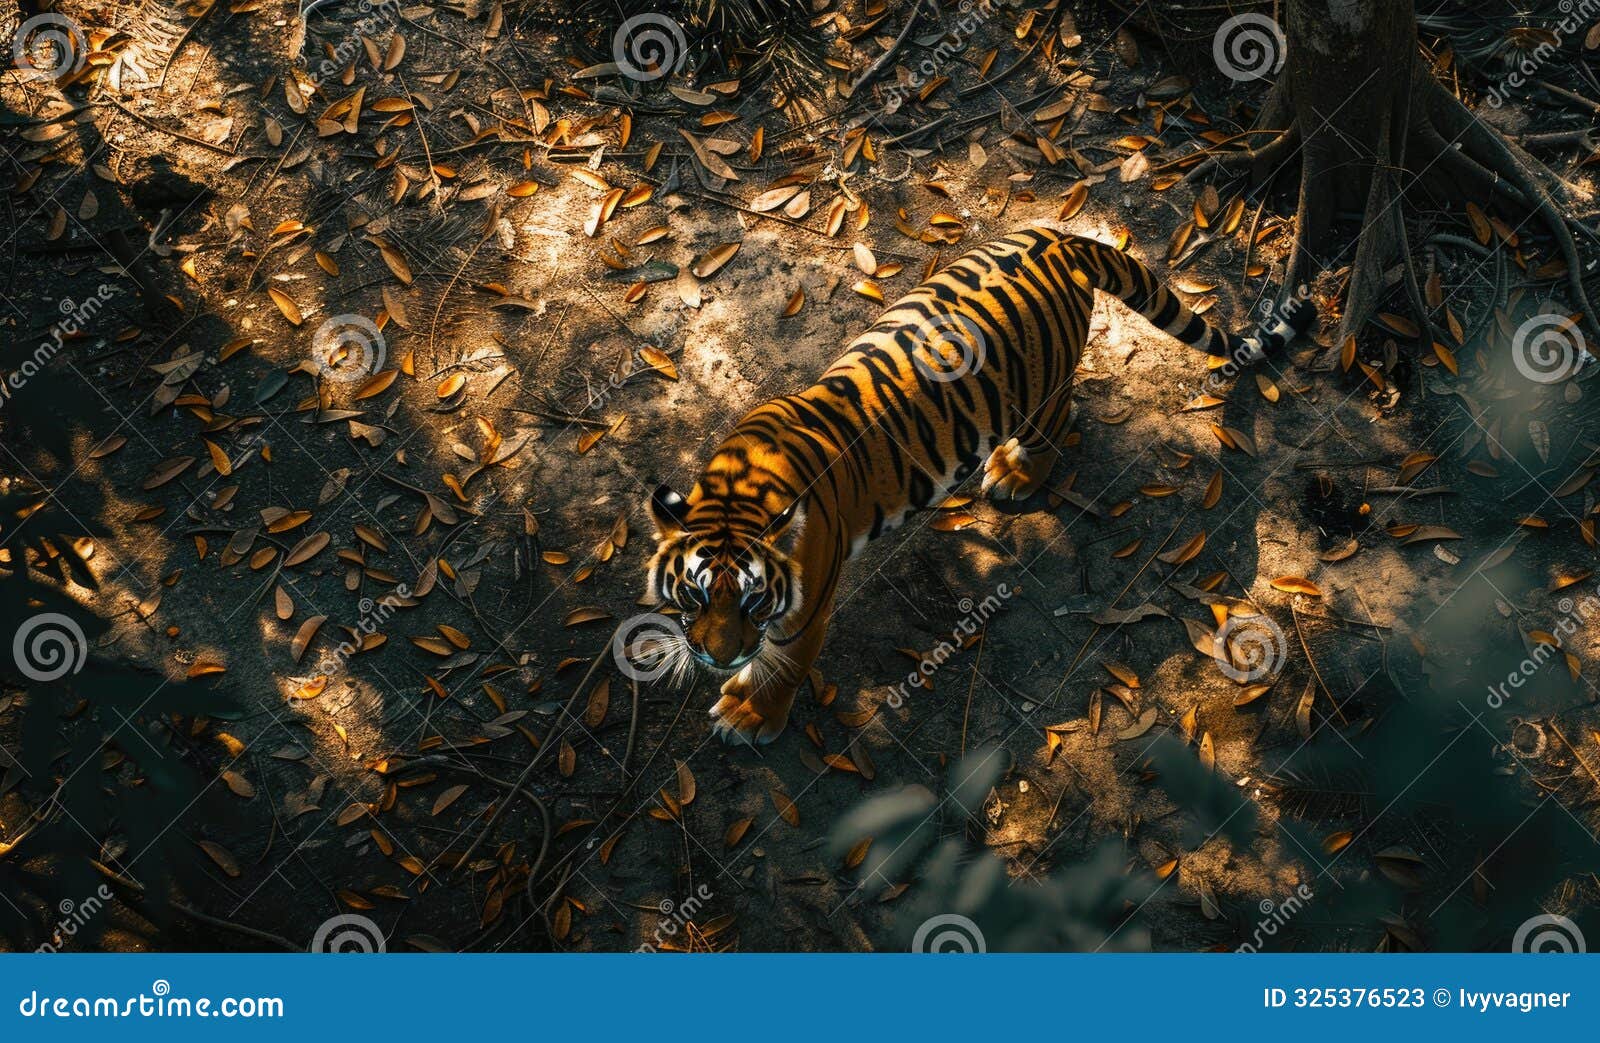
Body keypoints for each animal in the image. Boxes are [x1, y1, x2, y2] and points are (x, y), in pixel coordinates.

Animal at [641, 223, 1315, 744]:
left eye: (754, 600)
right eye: (695, 595)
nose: (715, 657)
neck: (738, 491)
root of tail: (1063, 238)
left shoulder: (807, 606)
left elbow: (785, 662)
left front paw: (749, 715)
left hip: (1036, 395)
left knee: (1059, 420)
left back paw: (1016, 475)